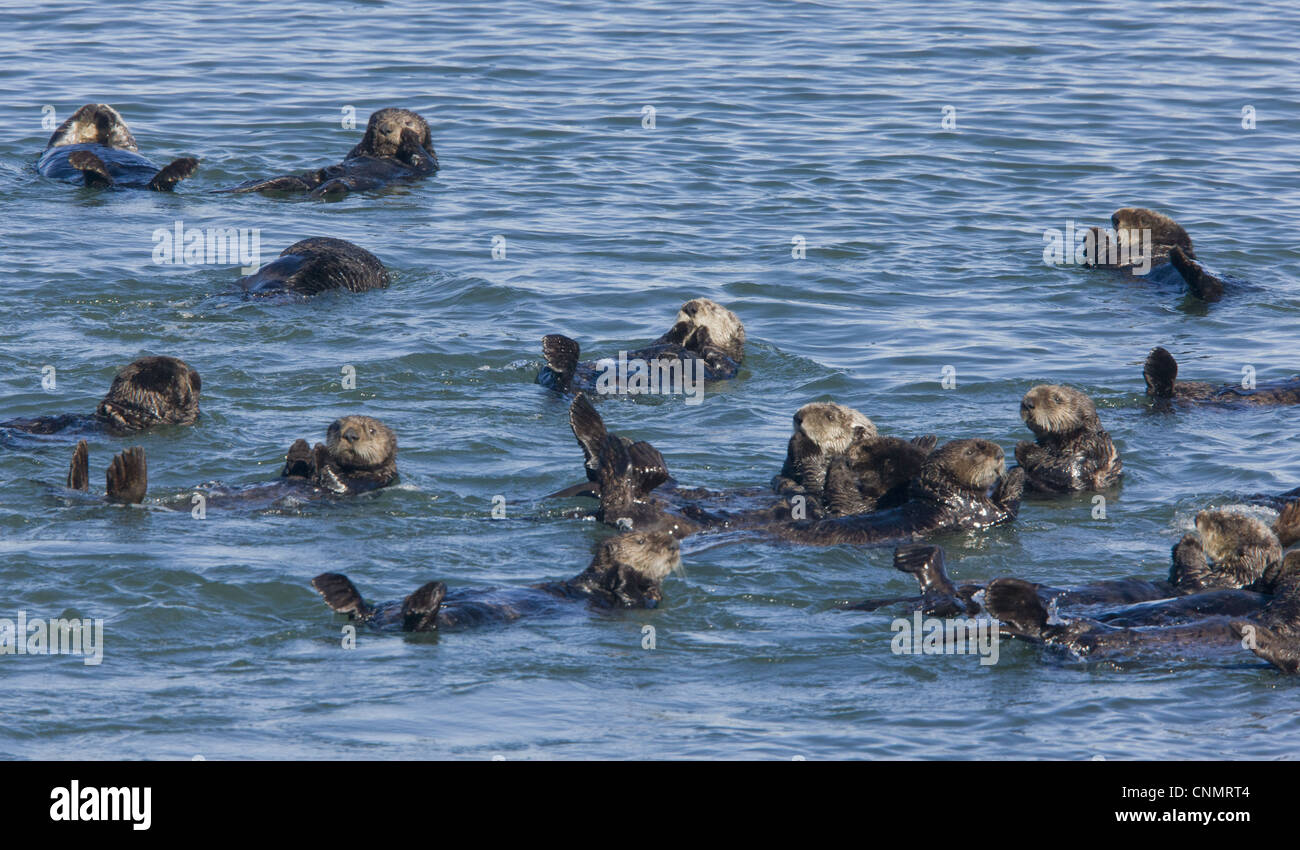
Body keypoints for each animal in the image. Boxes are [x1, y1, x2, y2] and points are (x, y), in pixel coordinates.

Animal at [64, 415, 397, 505]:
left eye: (369, 430)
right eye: (338, 427)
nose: (349, 435)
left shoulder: (370, 482)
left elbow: (337, 481)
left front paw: (319, 452)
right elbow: (295, 474)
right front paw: (301, 449)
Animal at [221, 108, 437, 200]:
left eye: (407, 122)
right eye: (378, 121)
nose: (386, 129)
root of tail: (317, 179)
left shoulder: (430, 166)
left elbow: (423, 159)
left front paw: (409, 135)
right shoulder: (355, 153)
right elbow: (356, 152)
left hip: (349, 183)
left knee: (331, 187)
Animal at [311, 531, 681, 632]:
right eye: (643, 540)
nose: (674, 545)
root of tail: (374, 618)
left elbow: (641, 597)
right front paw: (622, 571)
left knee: (415, 620)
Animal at [537, 298, 744, 397]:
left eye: (712, 308)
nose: (690, 307)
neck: (693, 347)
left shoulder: (728, 367)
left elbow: (717, 358)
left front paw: (703, 331)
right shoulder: (664, 341)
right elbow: (664, 339)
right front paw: (684, 326)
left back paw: (558, 351)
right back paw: (557, 347)